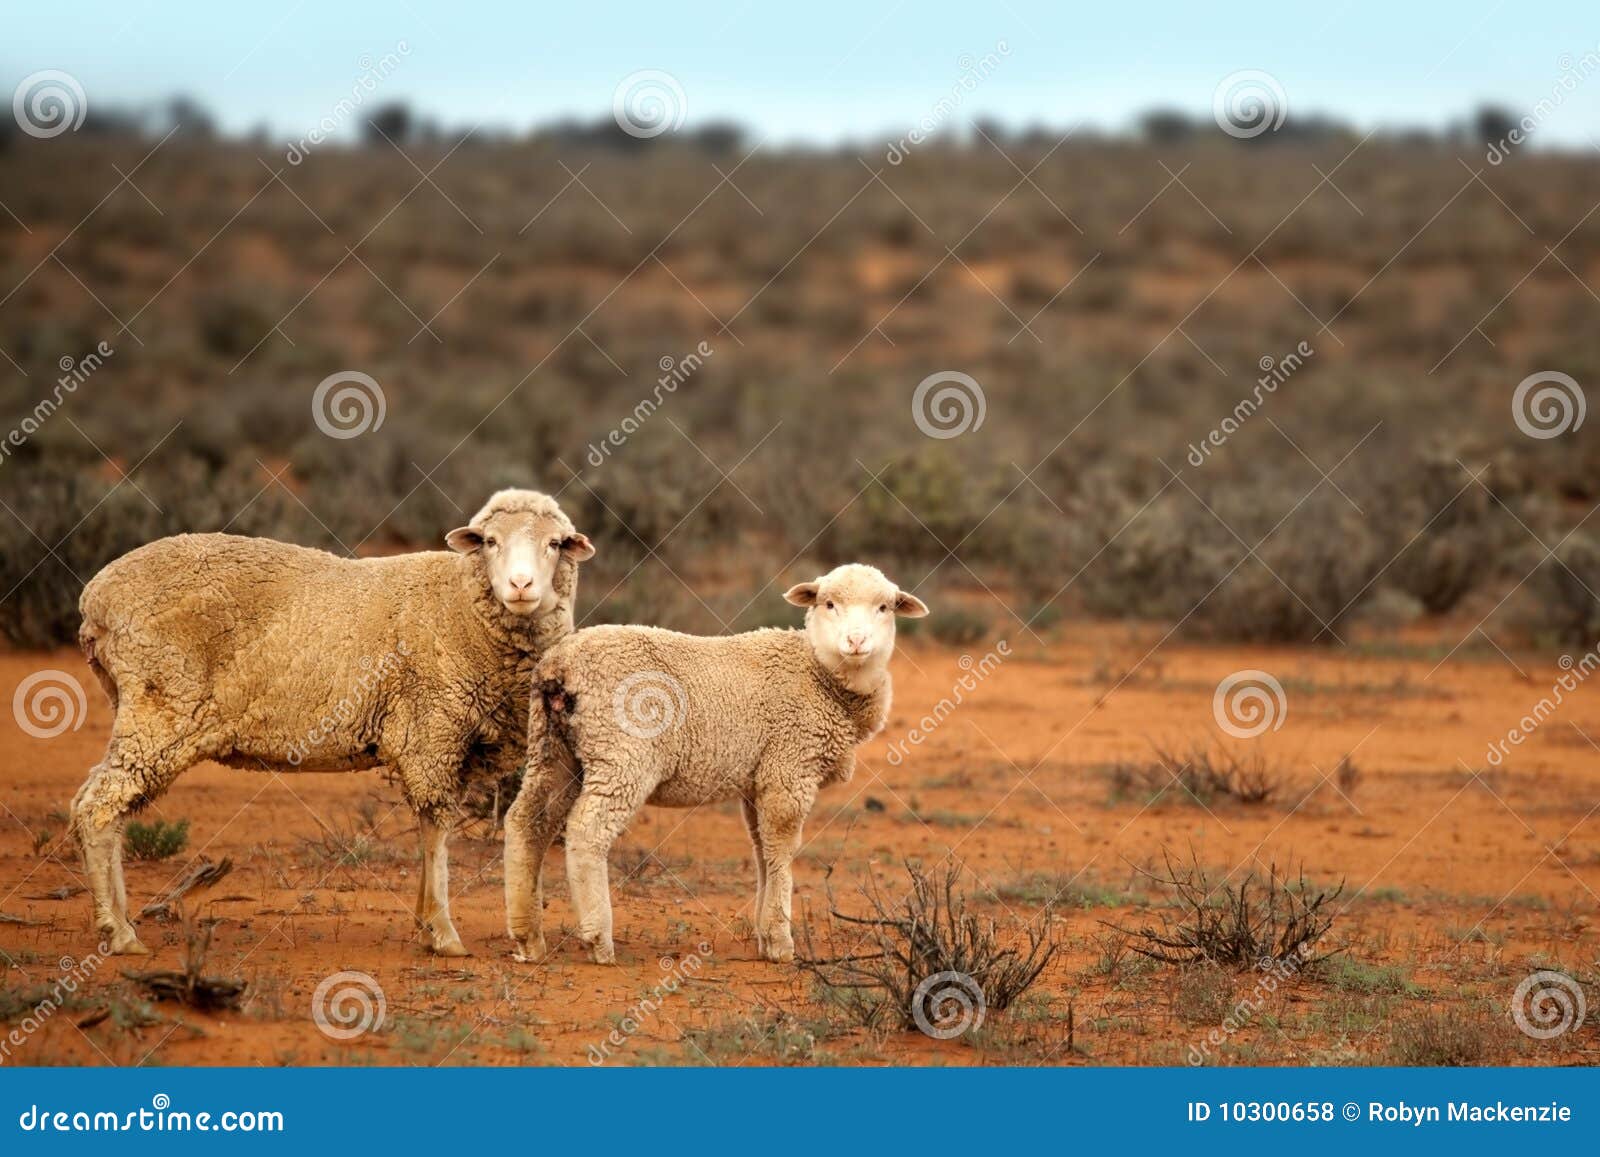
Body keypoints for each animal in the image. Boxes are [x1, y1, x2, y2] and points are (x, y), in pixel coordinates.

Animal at [72, 488, 595, 957]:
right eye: (489, 542)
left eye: (554, 543)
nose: (522, 586)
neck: (460, 607)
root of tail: (95, 598)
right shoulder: (433, 730)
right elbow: (436, 831)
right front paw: (443, 933)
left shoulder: (453, 744)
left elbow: (430, 832)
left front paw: (424, 923)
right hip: (160, 709)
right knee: (98, 808)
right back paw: (119, 932)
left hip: (138, 709)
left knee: (100, 806)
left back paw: (118, 920)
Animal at [504, 562, 929, 964]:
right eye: (828, 603)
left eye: (884, 607)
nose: (856, 641)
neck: (819, 675)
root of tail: (560, 664)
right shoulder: (789, 768)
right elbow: (782, 850)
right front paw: (780, 940)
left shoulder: (759, 781)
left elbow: (762, 851)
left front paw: (764, 936)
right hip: (621, 755)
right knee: (586, 831)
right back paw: (598, 940)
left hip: (553, 748)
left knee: (526, 823)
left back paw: (528, 937)